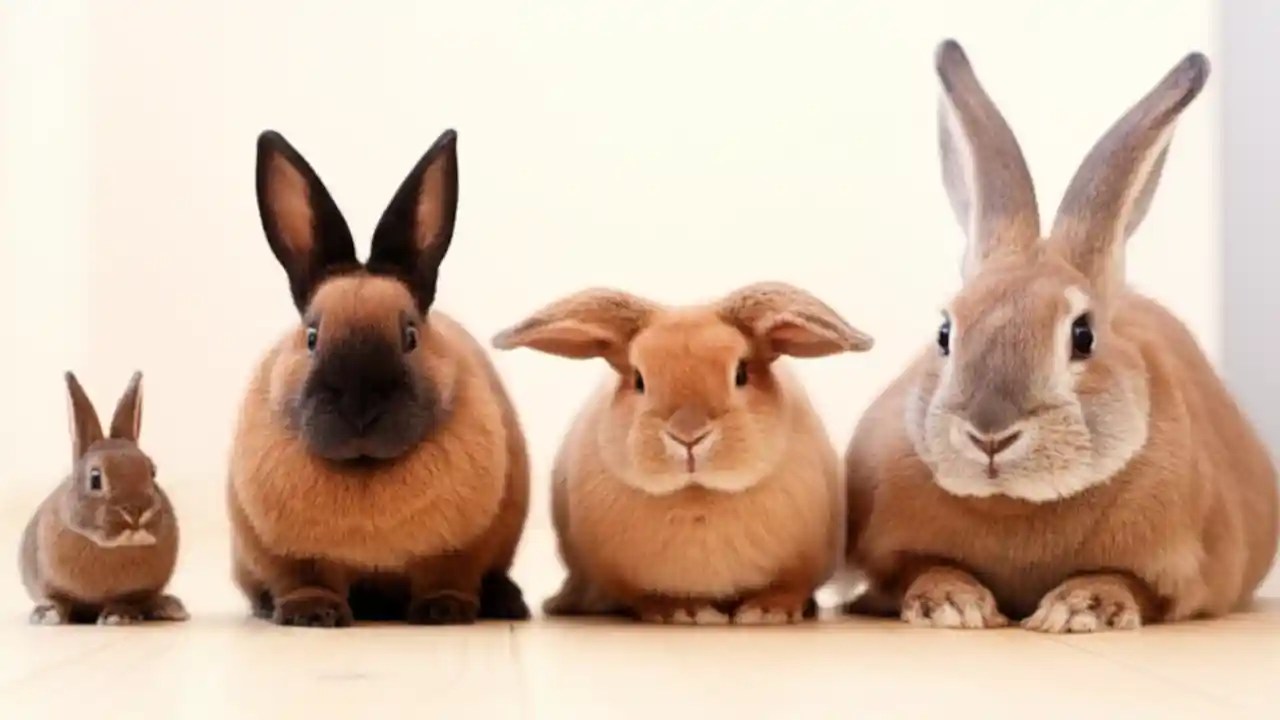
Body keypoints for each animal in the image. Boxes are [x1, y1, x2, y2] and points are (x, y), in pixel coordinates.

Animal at [20, 371, 187, 625]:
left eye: (152, 471)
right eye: (95, 478)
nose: (136, 511)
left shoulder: (135, 592)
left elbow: (127, 600)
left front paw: (119, 615)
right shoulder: (48, 583)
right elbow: (57, 599)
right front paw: (47, 614)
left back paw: (170, 607)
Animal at [227, 129, 531, 627]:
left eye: (410, 336)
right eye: (311, 336)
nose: (360, 408)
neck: (365, 468)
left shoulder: (457, 551)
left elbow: (447, 577)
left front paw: (443, 611)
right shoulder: (286, 553)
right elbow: (303, 579)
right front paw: (313, 614)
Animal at [493, 283, 873, 624]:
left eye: (741, 373)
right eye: (639, 379)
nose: (688, 435)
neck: (698, 495)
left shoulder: (805, 565)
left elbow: (789, 587)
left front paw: (765, 612)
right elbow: (651, 598)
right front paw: (687, 612)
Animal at [844, 40, 1279, 633]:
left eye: (1083, 335)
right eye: (944, 332)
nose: (989, 435)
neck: (1017, 506)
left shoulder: (1176, 572)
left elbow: (1125, 581)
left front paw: (1080, 609)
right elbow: (924, 569)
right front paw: (953, 604)